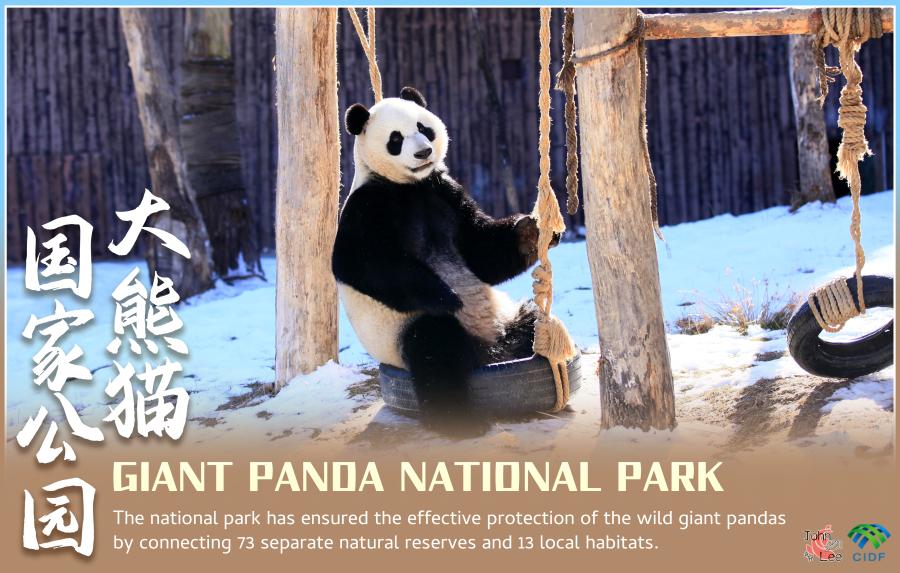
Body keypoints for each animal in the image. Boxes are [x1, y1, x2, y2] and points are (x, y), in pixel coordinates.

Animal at [332, 86, 557, 434]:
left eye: (424, 128)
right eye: (395, 139)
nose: (424, 152)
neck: (410, 186)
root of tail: (489, 351)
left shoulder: (443, 192)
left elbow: (481, 253)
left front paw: (531, 232)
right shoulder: (369, 205)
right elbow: (358, 263)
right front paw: (446, 295)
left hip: (508, 318)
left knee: (531, 321)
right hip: (402, 332)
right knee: (435, 350)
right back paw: (459, 422)